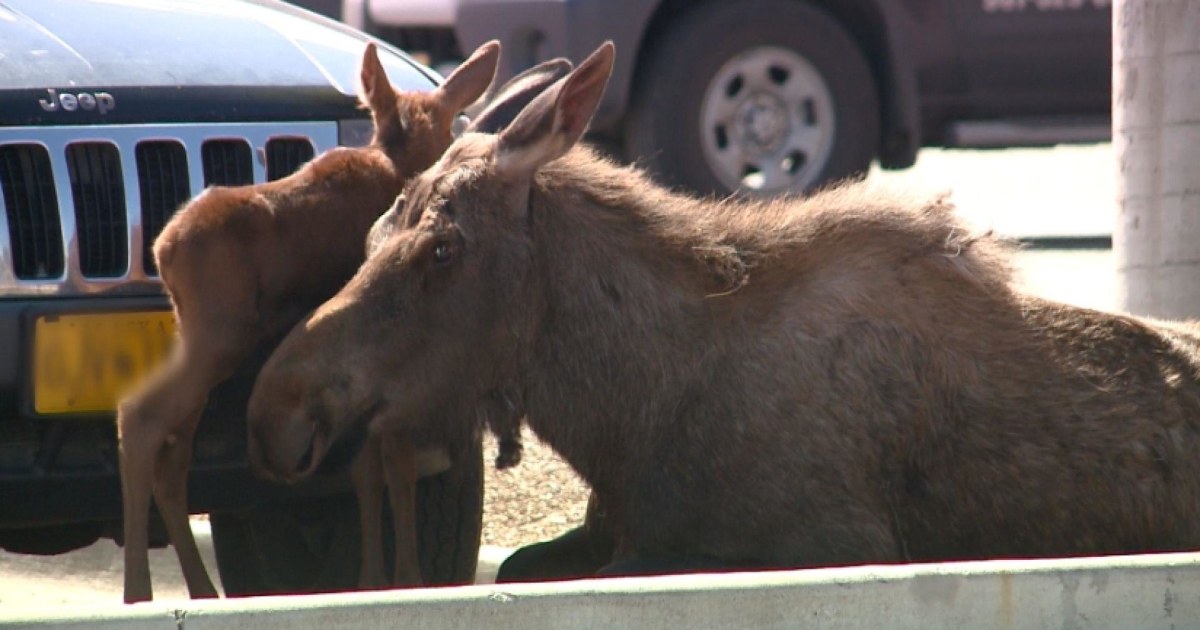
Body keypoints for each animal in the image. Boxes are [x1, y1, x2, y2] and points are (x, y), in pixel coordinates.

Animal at [116, 40, 569, 603]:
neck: (396, 159)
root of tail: (162, 249)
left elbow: (366, 470)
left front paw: (373, 579)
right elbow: (392, 463)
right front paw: (403, 579)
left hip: (198, 345)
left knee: (173, 454)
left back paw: (200, 589)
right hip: (217, 341)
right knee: (141, 416)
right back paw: (138, 591)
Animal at [245, 42, 1200, 579]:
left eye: (443, 247)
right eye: (375, 229)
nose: (274, 408)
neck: (623, 419)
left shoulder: (832, 539)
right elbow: (529, 564)